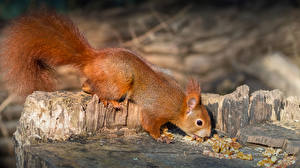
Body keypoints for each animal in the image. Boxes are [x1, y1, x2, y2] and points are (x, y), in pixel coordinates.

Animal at [0, 11, 211, 142]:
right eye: (199, 122)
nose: (208, 134)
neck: (179, 106)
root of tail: (92, 59)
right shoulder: (155, 110)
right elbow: (149, 124)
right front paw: (161, 137)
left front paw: (168, 131)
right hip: (120, 83)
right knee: (97, 90)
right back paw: (111, 101)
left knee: (86, 85)